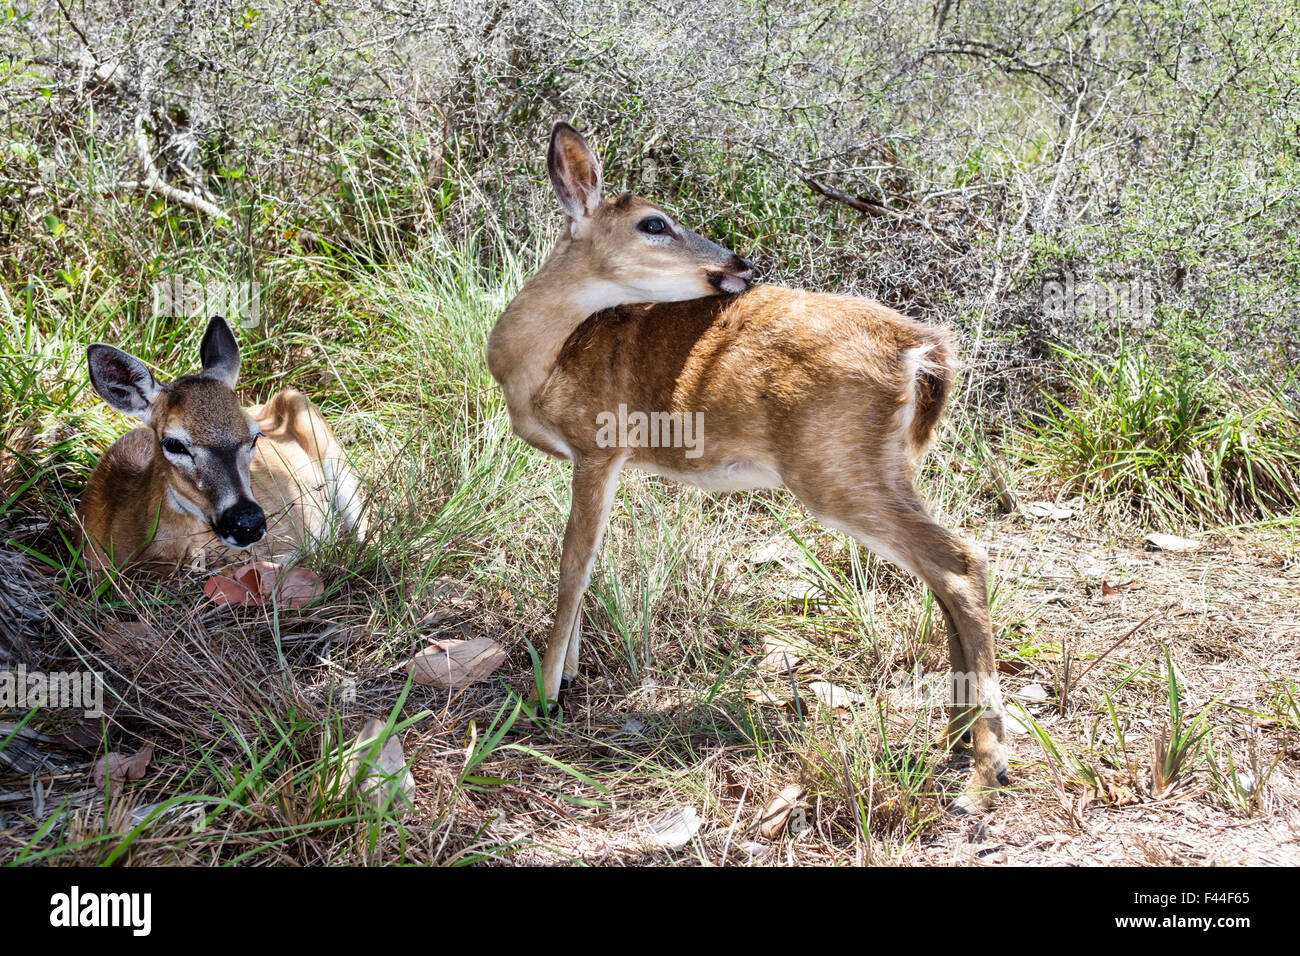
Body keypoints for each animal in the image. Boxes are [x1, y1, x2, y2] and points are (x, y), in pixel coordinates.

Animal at [488, 122, 1010, 811]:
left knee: (961, 559)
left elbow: (572, 568)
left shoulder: (601, 444)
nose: (741, 264)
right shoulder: (598, 459)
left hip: (832, 465)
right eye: (654, 223)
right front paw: (569, 674)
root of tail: (923, 350)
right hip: (884, 462)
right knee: (942, 572)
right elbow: (589, 563)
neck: (540, 362)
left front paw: (544, 695)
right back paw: (952, 740)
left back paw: (984, 773)